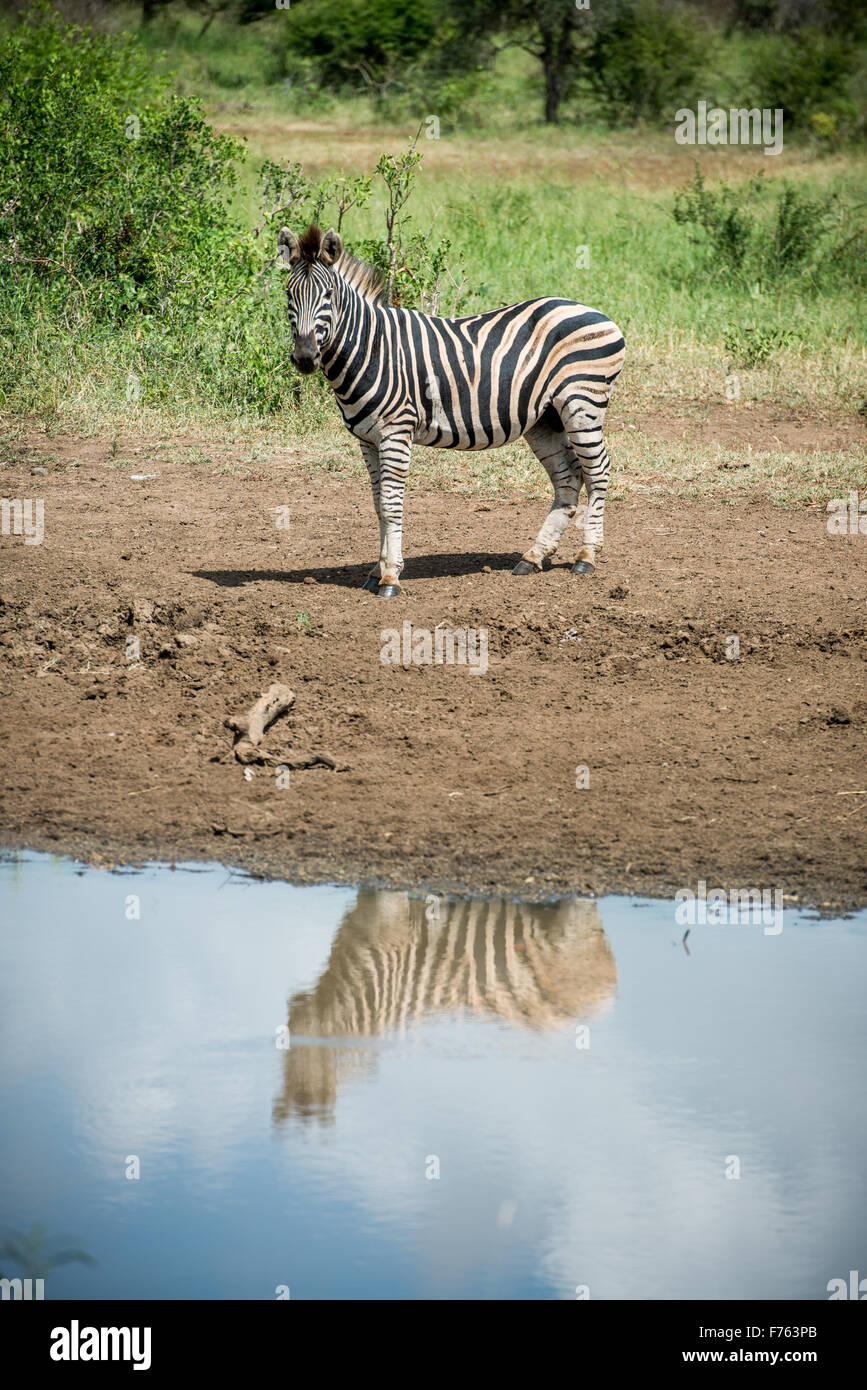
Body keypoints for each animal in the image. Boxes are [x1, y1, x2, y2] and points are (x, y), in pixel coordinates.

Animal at [277, 224, 625, 596]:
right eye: (288, 294)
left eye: (328, 295)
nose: (304, 357)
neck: (371, 347)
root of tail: (596, 312)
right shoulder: (367, 439)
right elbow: (377, 503)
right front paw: (376, 570)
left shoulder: (396, 432)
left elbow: (390, 503)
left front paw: (390, 576)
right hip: (544, 418)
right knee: (568, 477)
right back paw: (533, 557)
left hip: (582, 403)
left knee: (598, 471)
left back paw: (586, 557)